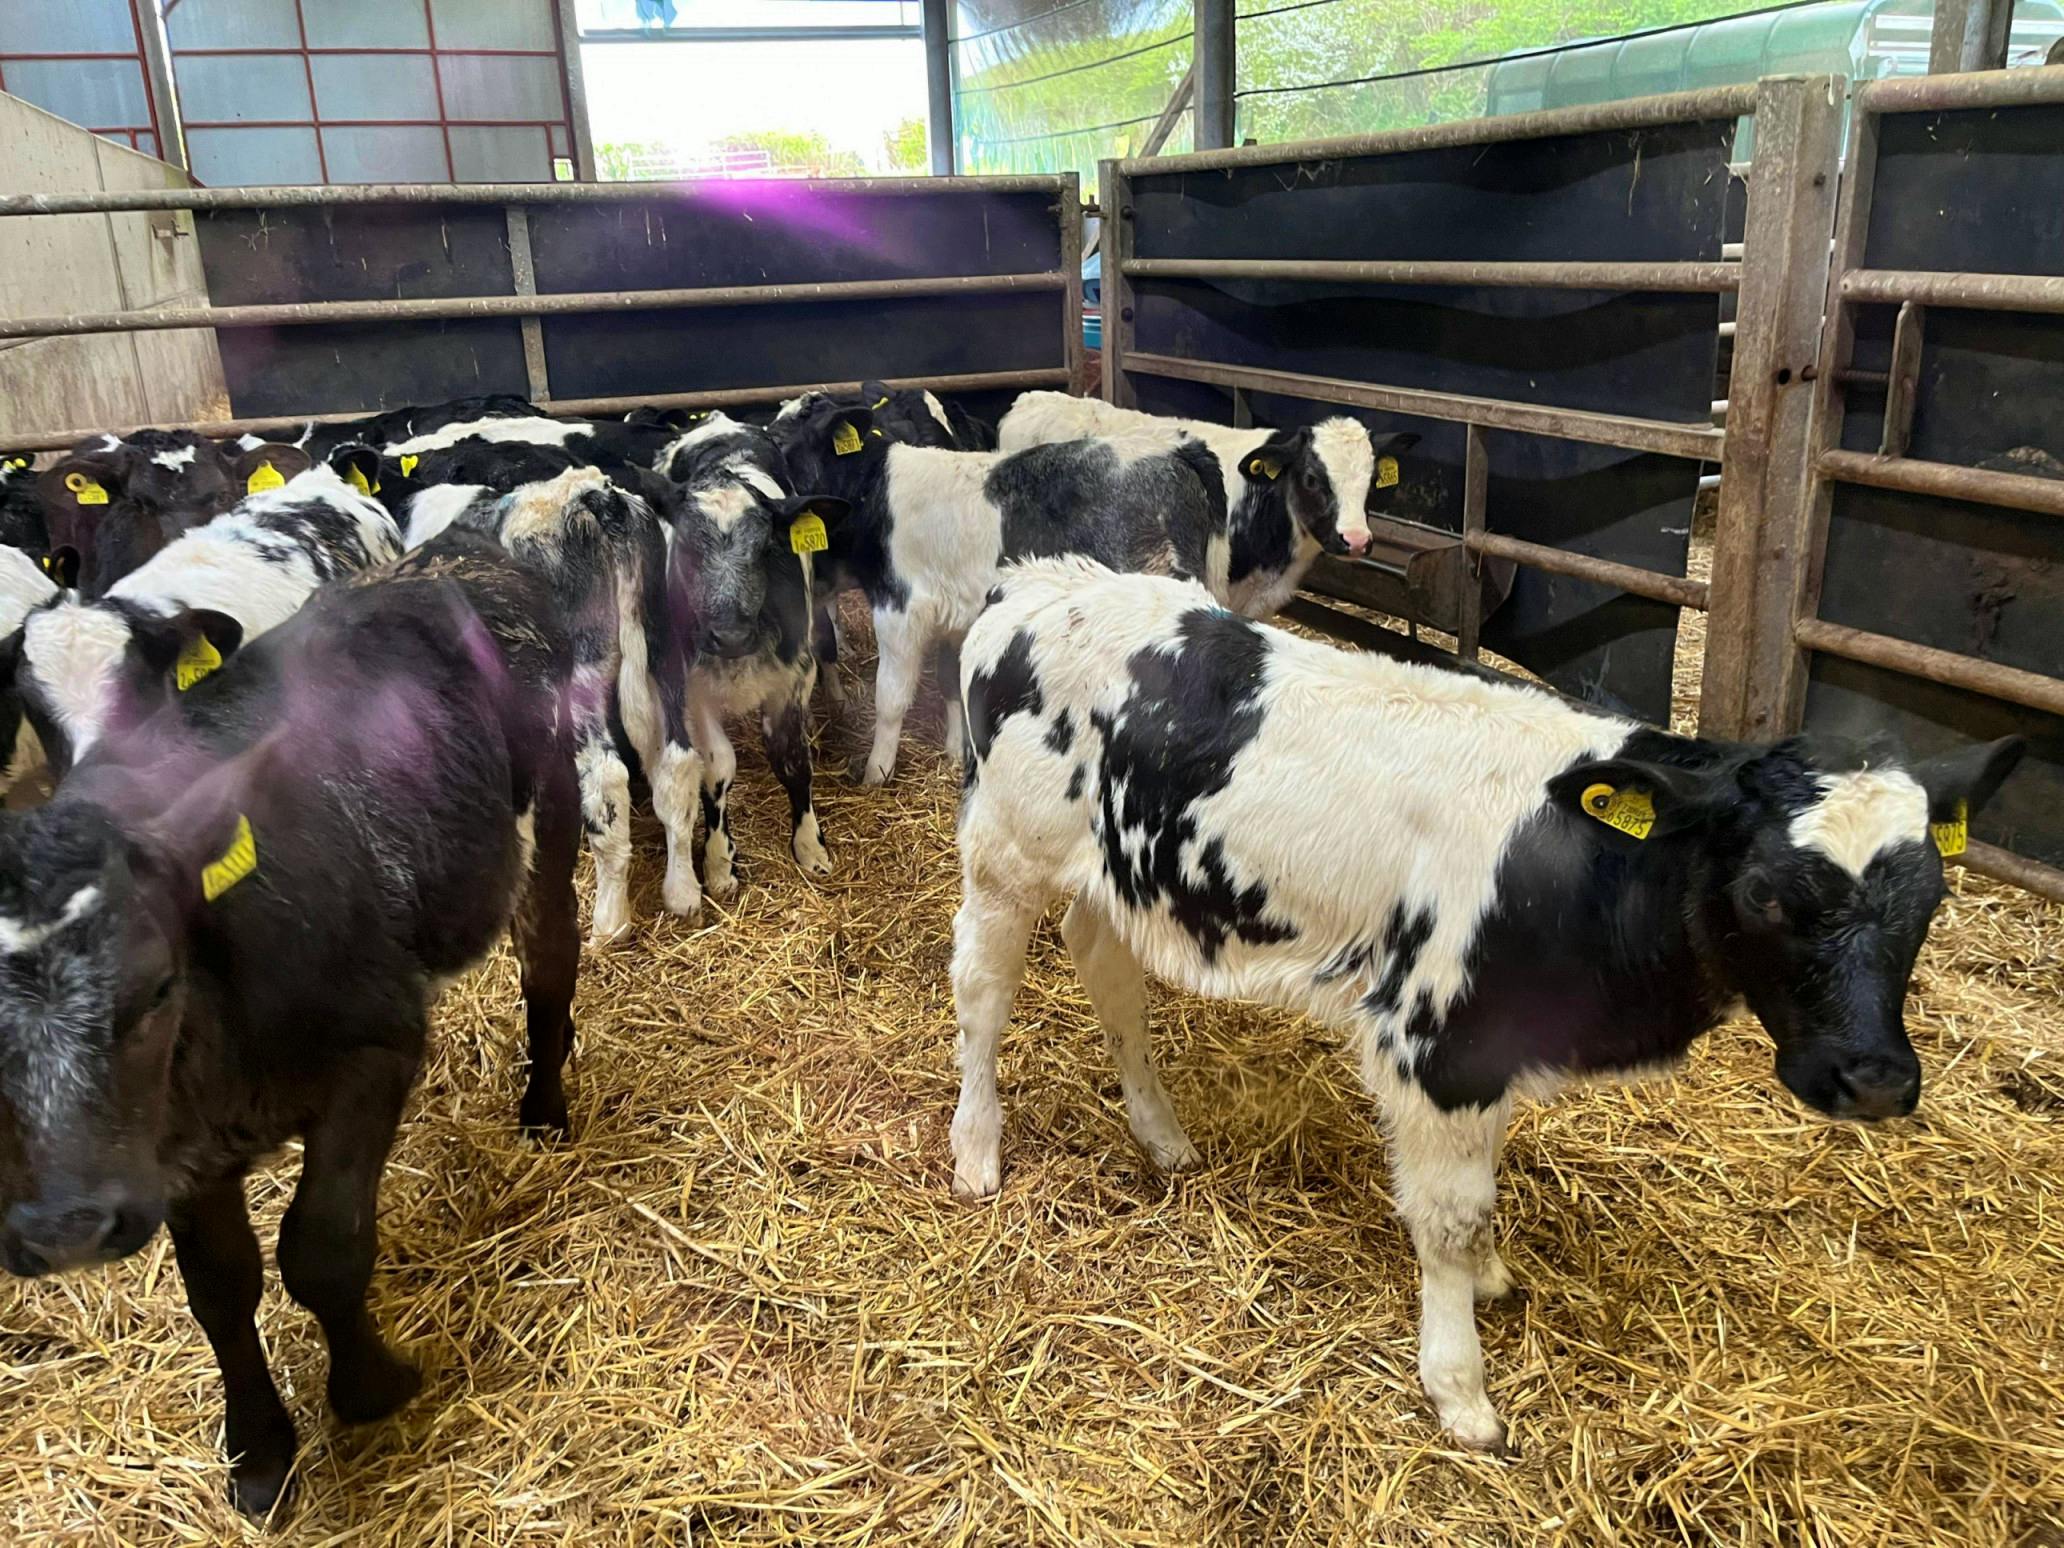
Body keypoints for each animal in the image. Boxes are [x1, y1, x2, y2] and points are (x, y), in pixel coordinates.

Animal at [0, 531, 583, 1516]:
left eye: (157, 986)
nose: (67, 1227)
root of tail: (450, 555)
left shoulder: (375, 1050)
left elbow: (322, 1247)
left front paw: (371, 1387)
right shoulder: (176, 1151)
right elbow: (219, 1288)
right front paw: (260, 1448)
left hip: (553, 811)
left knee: (550, 964)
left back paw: (544, 1108)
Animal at [772, 396, 1243, 787]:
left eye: (777, 438)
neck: (874, 489)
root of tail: (1178, 451)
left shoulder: (899, 609)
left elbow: (890, 697)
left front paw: (876, 772)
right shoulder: (954, 615)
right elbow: (951, 682)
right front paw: (955, 750)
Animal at [948, 558, 2024, 1455]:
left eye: (1932, 896)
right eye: (1764, 892)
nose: (1874, 1078)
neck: (1577, 864)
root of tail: (1040, 580)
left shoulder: (1491, 1040)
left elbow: (1485, 1186)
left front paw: (1493, 1276)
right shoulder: (1434, 1042)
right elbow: (1449, 1219)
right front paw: (1460, 1387)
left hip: (1112, 877)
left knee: (1109, 976)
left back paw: (1161, 1133)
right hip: (1002, 852)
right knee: (982, 992)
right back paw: (977, 1151)